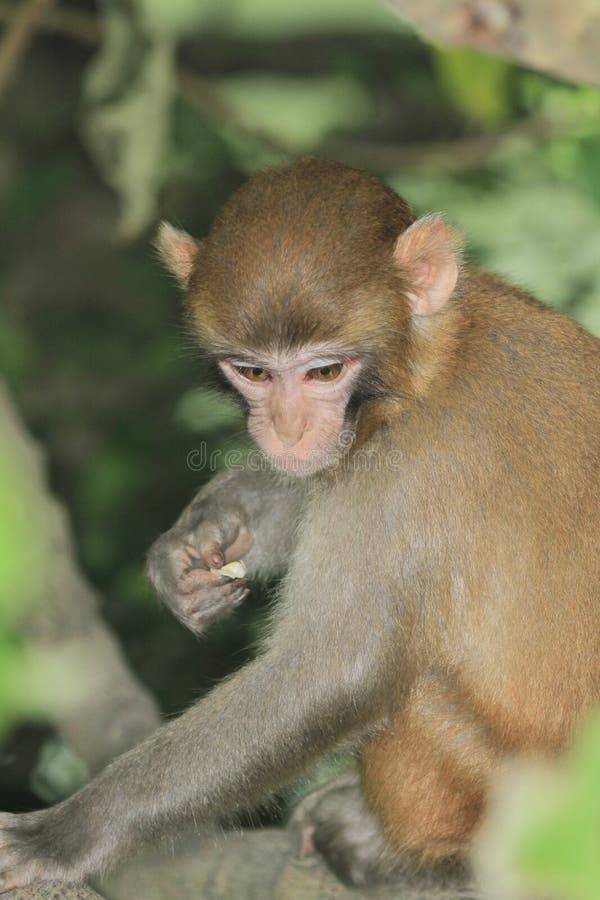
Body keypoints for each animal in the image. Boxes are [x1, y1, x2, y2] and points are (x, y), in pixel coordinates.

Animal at [0, 158, 598, 893]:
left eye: (325, 371)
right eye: (254, 371)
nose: (285, 431)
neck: (434, 363)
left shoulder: (410, 471)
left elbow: (333, 674)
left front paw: (64, 834)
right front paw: (207, 531)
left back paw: (425, 861)